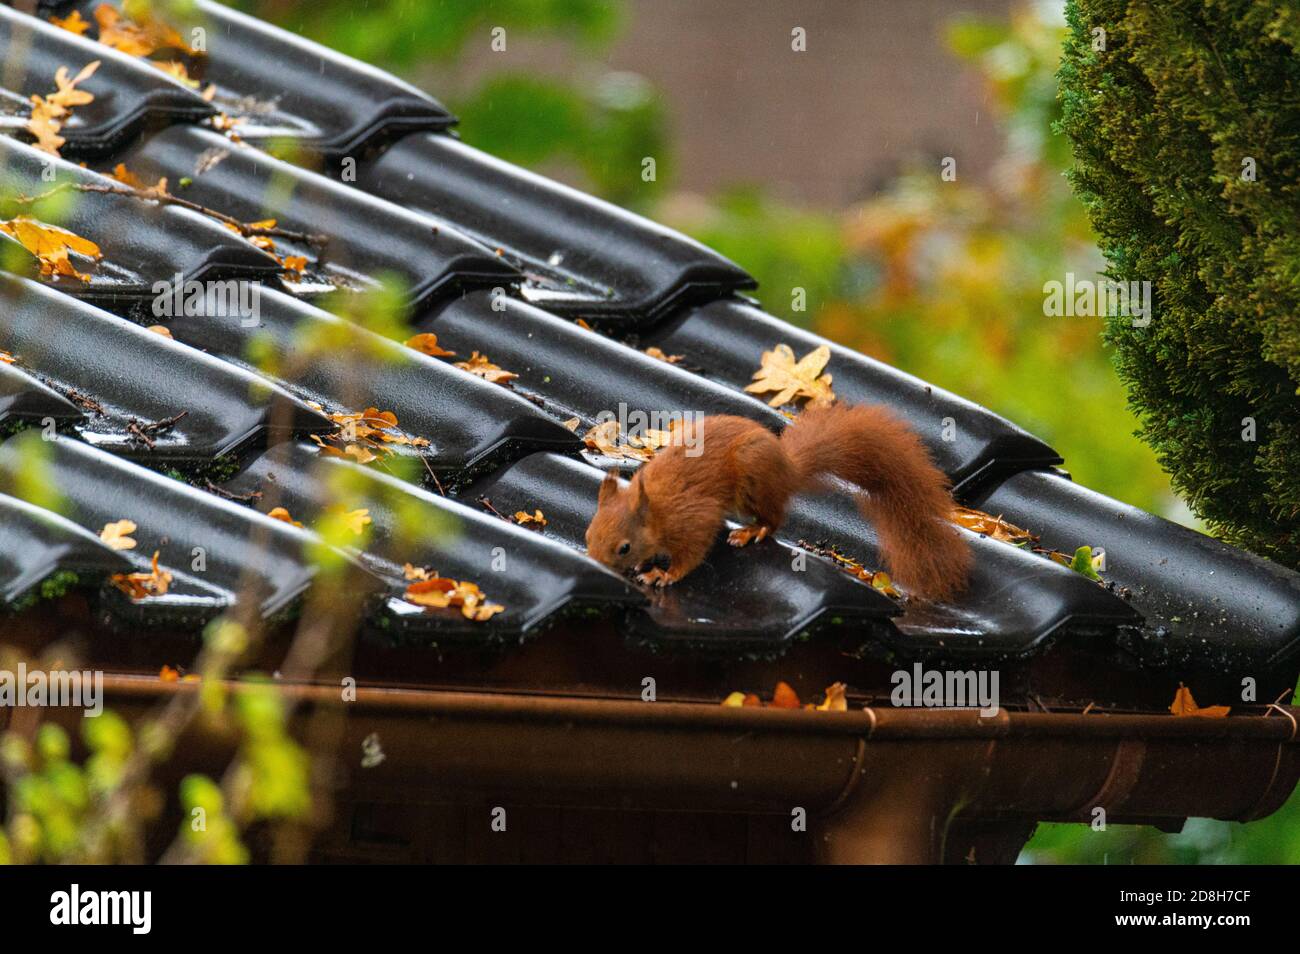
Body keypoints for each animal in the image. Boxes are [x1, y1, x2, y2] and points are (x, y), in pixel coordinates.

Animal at [584, 402, 972, 601]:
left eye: (623, 547)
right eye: (588, 535)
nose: (594, 565)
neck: (655, 509)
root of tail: (788, 468)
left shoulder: (693, 518)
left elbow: (692, 553)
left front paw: (663, 575)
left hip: (754, 479)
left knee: (775, 518)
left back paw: (752, 532)